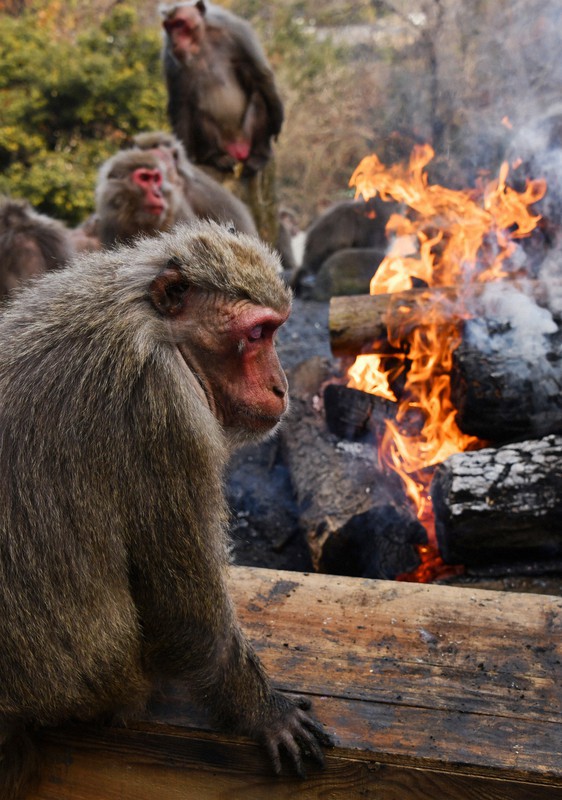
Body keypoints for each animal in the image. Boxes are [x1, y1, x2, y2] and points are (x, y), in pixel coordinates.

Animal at [0, 221, 331, 798]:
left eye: (274, 331)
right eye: (255, 335)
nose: (280, 387)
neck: (153, 325)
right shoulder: (164, 411)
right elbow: (183, 606)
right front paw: (262, 710)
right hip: (104, 682)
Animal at [161, 1, 284, 177]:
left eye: (180, 24)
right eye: (169, 27)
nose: (175, 41)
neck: (201, 42)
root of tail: (237, 150)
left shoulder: (238, 34)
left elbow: (260, 76)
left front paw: (278, 121)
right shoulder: (170, 57)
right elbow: (181, 104)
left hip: (246, 137)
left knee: (259, 97)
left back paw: (259, 155)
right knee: (199, 112)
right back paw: (216, 157)